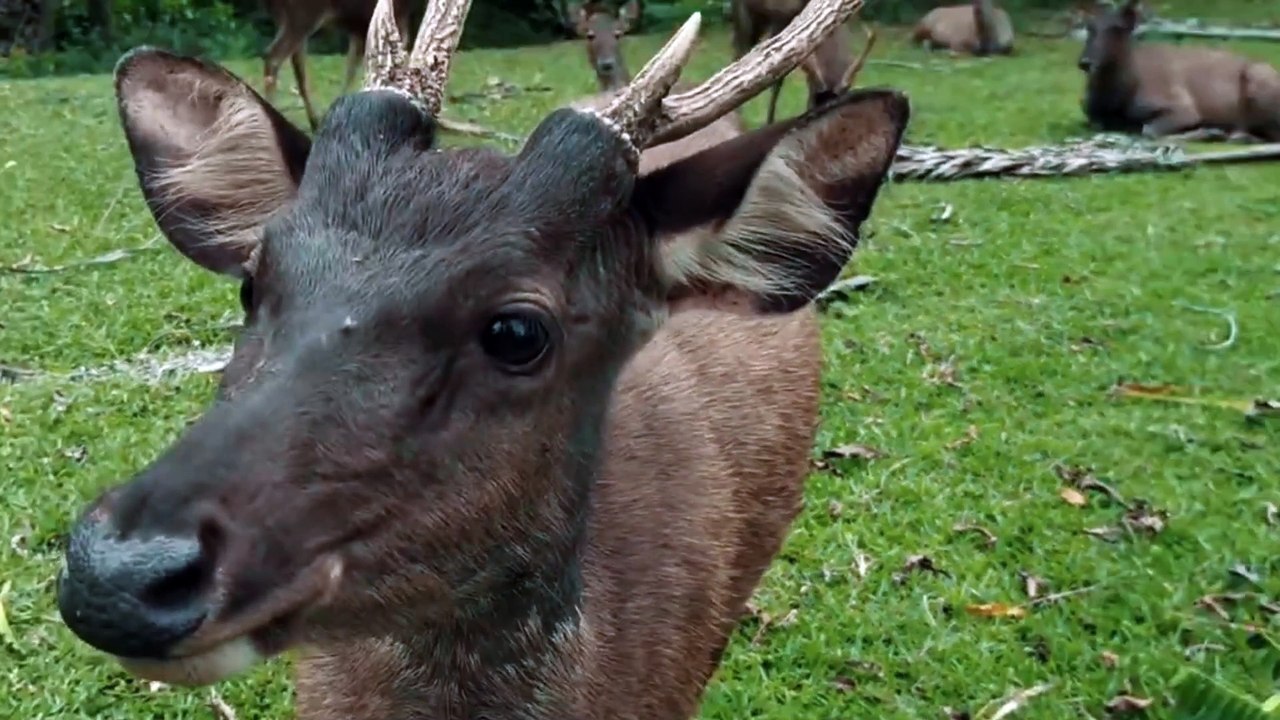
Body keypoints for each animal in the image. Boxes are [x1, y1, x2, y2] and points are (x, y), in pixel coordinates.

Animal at [1077, 0, 1280, 141]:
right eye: (1089, 27)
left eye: (1117, 29)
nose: (1085, 62)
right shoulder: (1091, 112)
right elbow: (1095, 123)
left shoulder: (1181, 105)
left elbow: (1149, 130)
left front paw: (1207, 131)